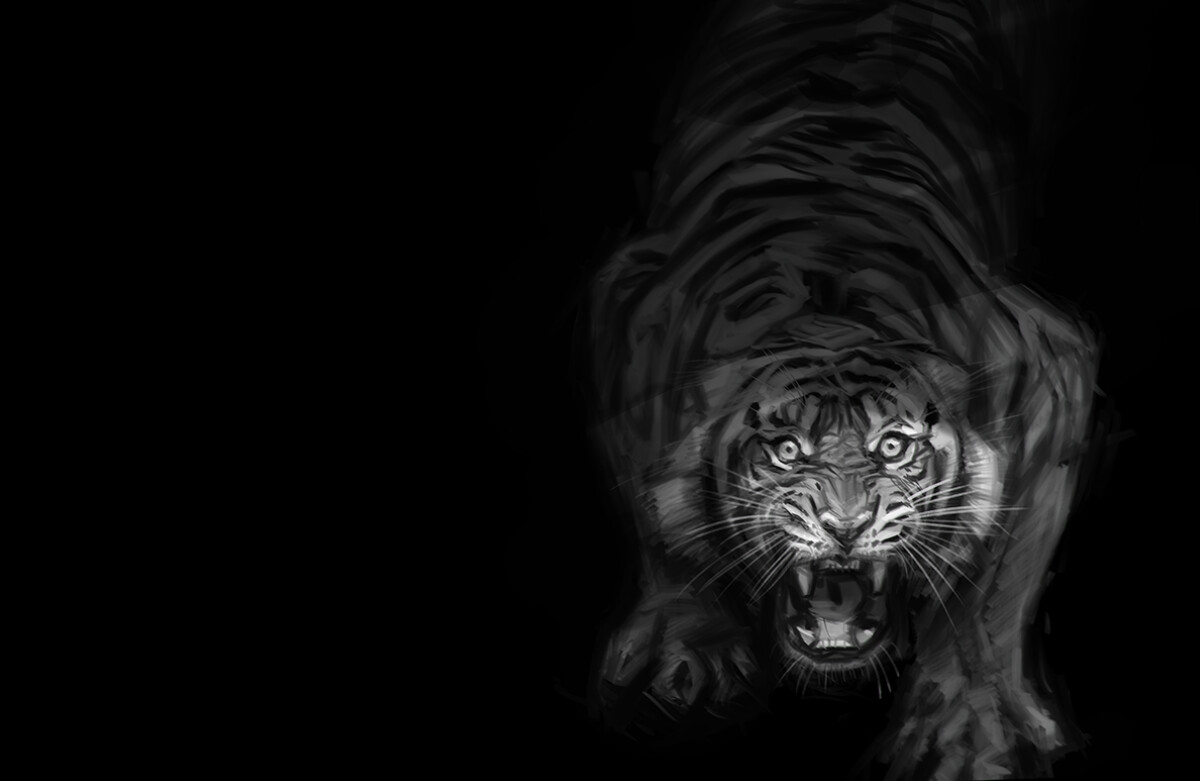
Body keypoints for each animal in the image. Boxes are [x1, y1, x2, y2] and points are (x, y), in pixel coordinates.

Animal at [582, 1, 1098, 779]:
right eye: (787, 450)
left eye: (893, 446)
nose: (846, 527)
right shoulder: (632, 319)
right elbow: (661, 523)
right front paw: (685, 648)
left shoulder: (1050, 372)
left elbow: (991, 590)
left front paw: (971, 726)